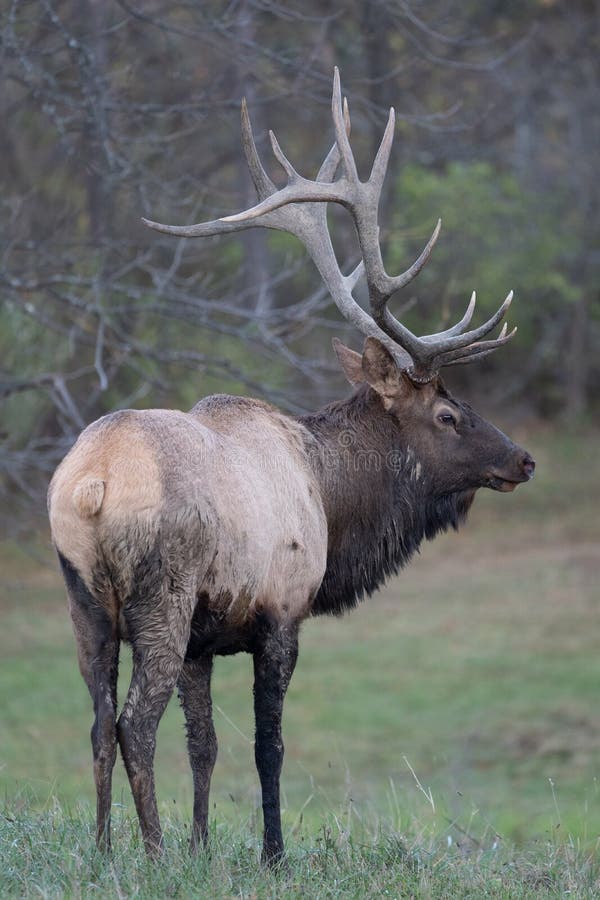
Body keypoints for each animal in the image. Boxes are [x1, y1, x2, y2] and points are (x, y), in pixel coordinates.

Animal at [48, 69, 535, 865]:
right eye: (447, 415)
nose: (523, 459)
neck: (333, 497)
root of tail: (91, 486)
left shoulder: (205, 641)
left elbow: (206, 745)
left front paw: (203, 845)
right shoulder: (279, 612)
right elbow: (266, 747)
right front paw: (270, 855)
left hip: (84, 604)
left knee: (95, 723)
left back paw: (104, 848)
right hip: (160, 596)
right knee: (132, 725)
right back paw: (149, 853)